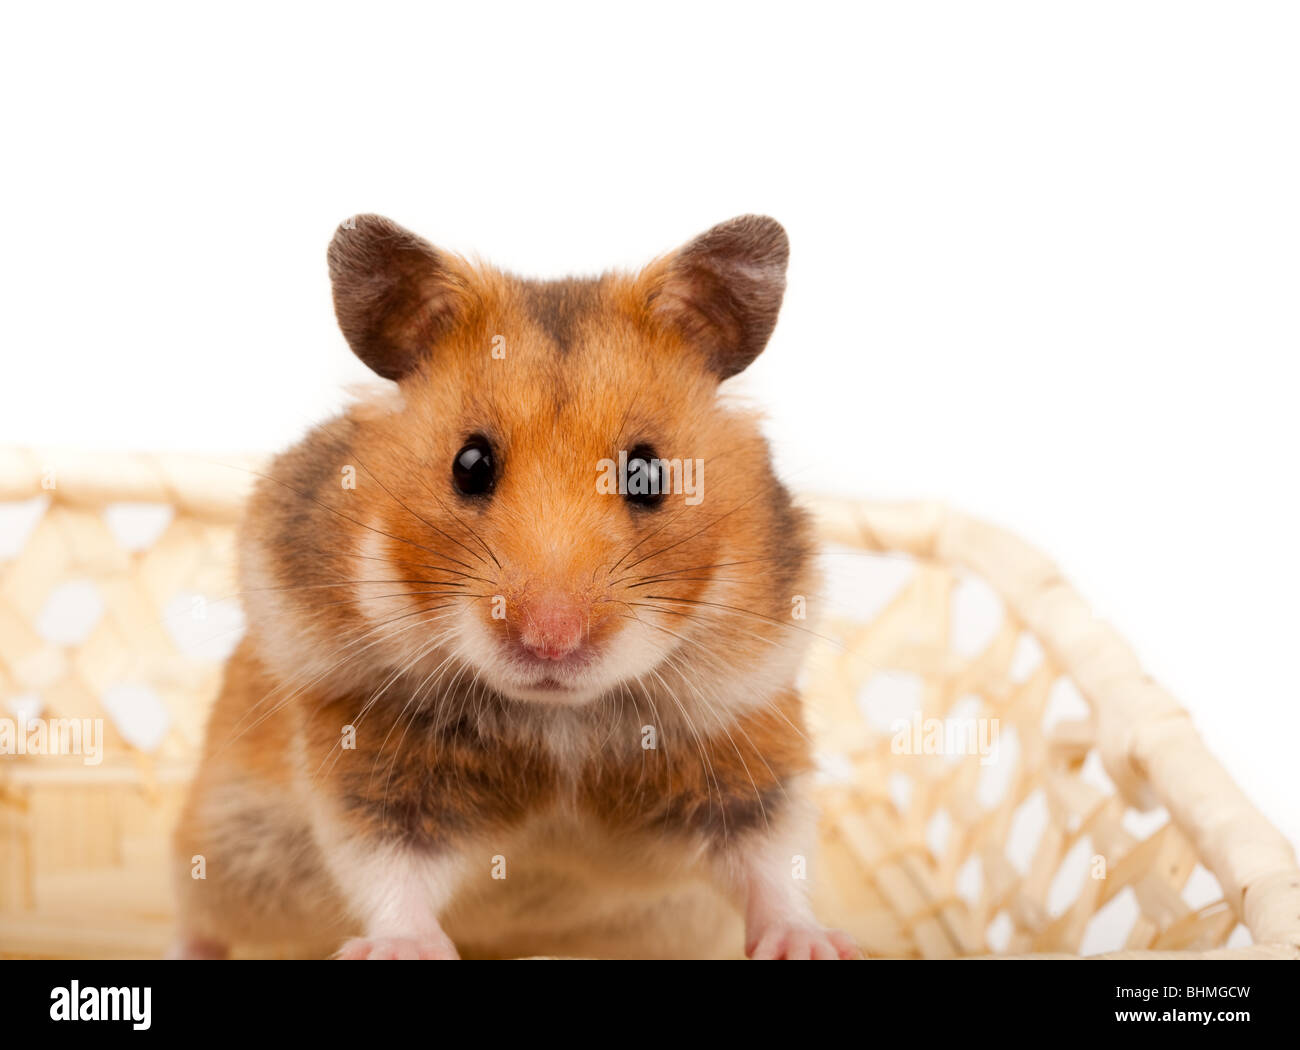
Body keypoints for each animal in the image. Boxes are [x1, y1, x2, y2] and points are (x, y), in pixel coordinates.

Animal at [170, 214, 858, 960]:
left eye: (649, 474)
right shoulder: (369, 756)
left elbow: (770, 859)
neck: (560, 721)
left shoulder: (749, 745)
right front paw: (404, 950)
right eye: (469, 464)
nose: (551, 641)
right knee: (199, 921)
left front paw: (815, 946)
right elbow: (388, 867)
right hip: (219, 851)